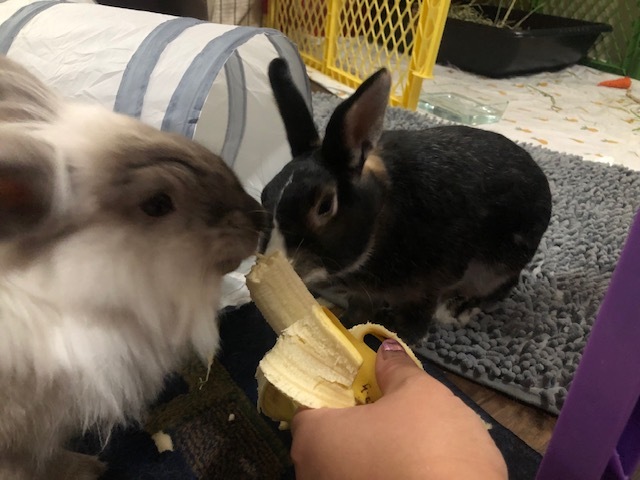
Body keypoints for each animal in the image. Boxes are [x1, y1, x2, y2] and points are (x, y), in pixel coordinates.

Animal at [261, 58, 552, 344]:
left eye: (324, 206)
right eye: (265, 195)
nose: (277, 262)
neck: (381, 218)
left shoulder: (425, 291)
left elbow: (412, 327)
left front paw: (400, 340)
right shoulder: (364, 294)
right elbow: (359, 314)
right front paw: (346, 326)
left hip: (496, 266)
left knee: (498, 289)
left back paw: (458, 308)